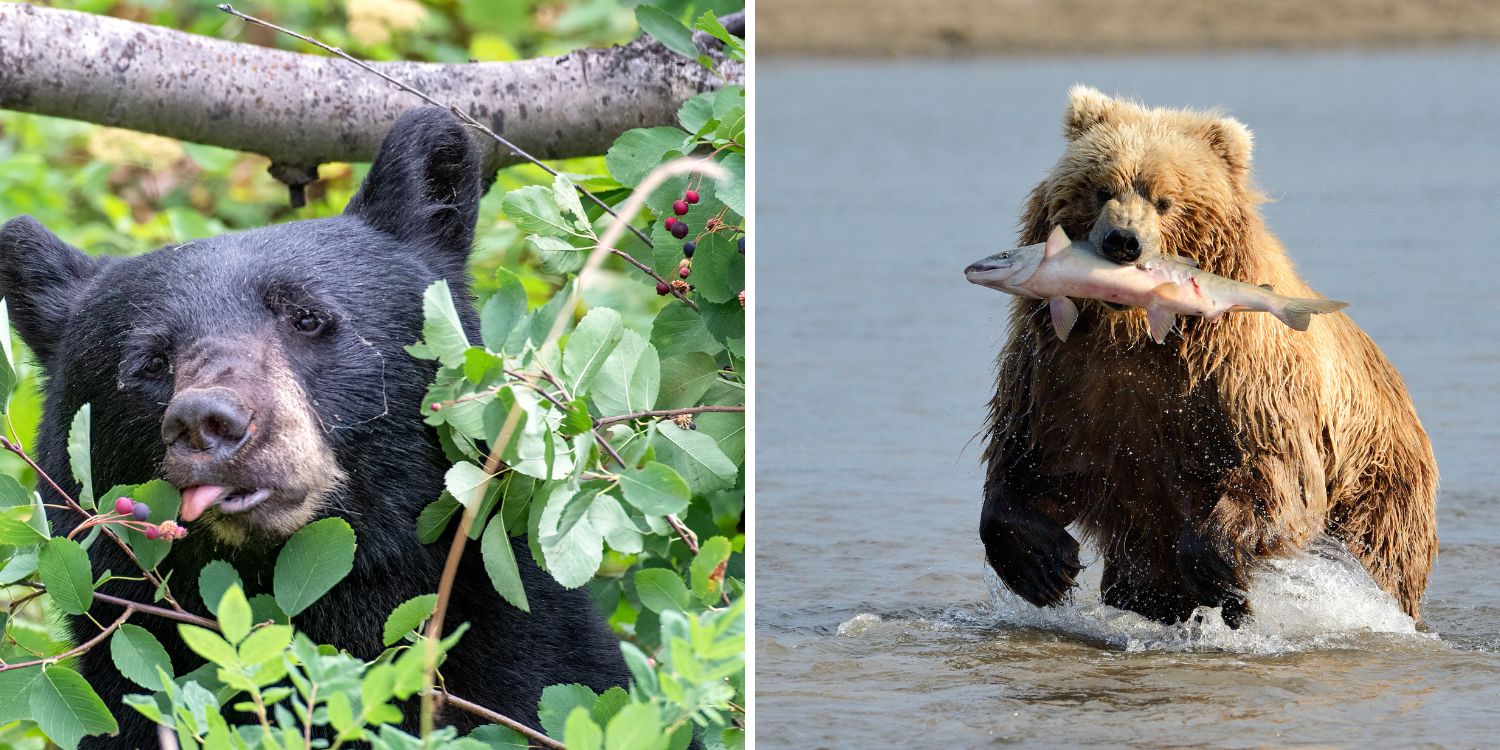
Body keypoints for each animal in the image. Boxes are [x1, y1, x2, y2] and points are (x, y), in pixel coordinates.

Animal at [979, 86, 1438, 628]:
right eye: (1102, 188)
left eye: (1165, 199)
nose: (1123, 242)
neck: (1131, 333)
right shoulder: (1063, 368)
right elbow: (1032, 449)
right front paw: (1045, 565)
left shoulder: (1237, 378)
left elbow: (1273, 473)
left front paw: (1221, 574)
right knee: (1141, 576)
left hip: (1378, 483)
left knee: (1376, 553)